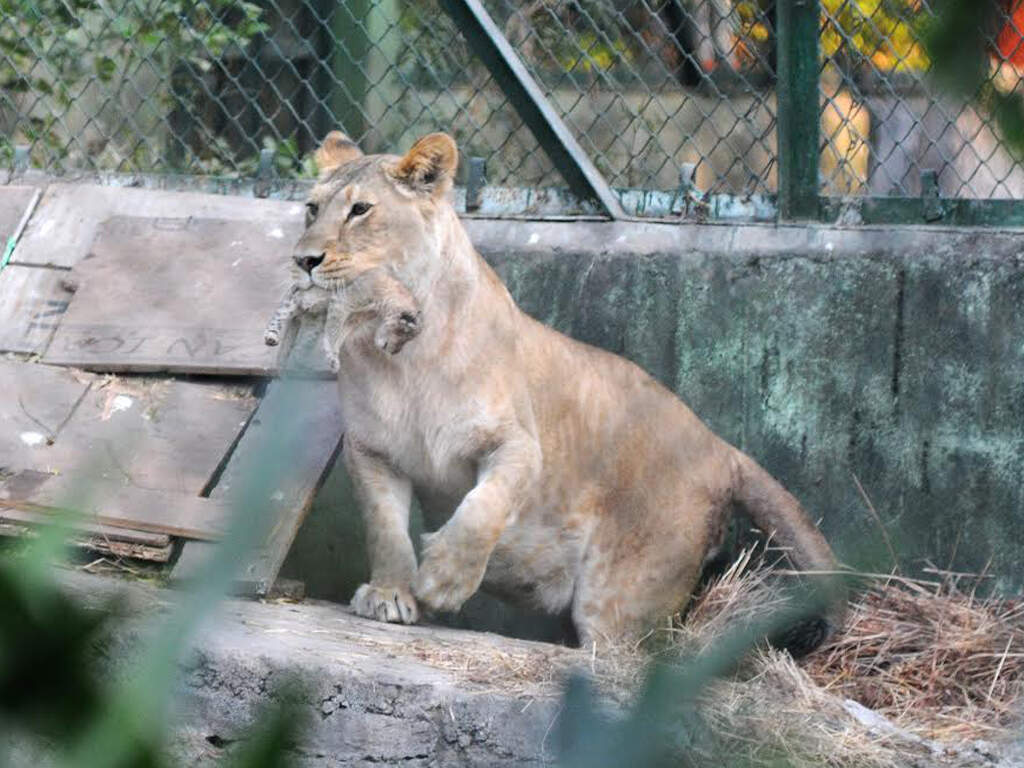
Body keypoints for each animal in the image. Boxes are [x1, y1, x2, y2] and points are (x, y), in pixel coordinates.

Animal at [292, 130, 845, 650]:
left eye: (361, 210)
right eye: (312, 208)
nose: (304, 260)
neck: (404, 357)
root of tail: (721, 448)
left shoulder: (518, 443)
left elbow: (483, 509)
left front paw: (443, 580)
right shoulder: (372, 451)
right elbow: (383, 527)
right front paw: (389, 594)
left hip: (621, 596)